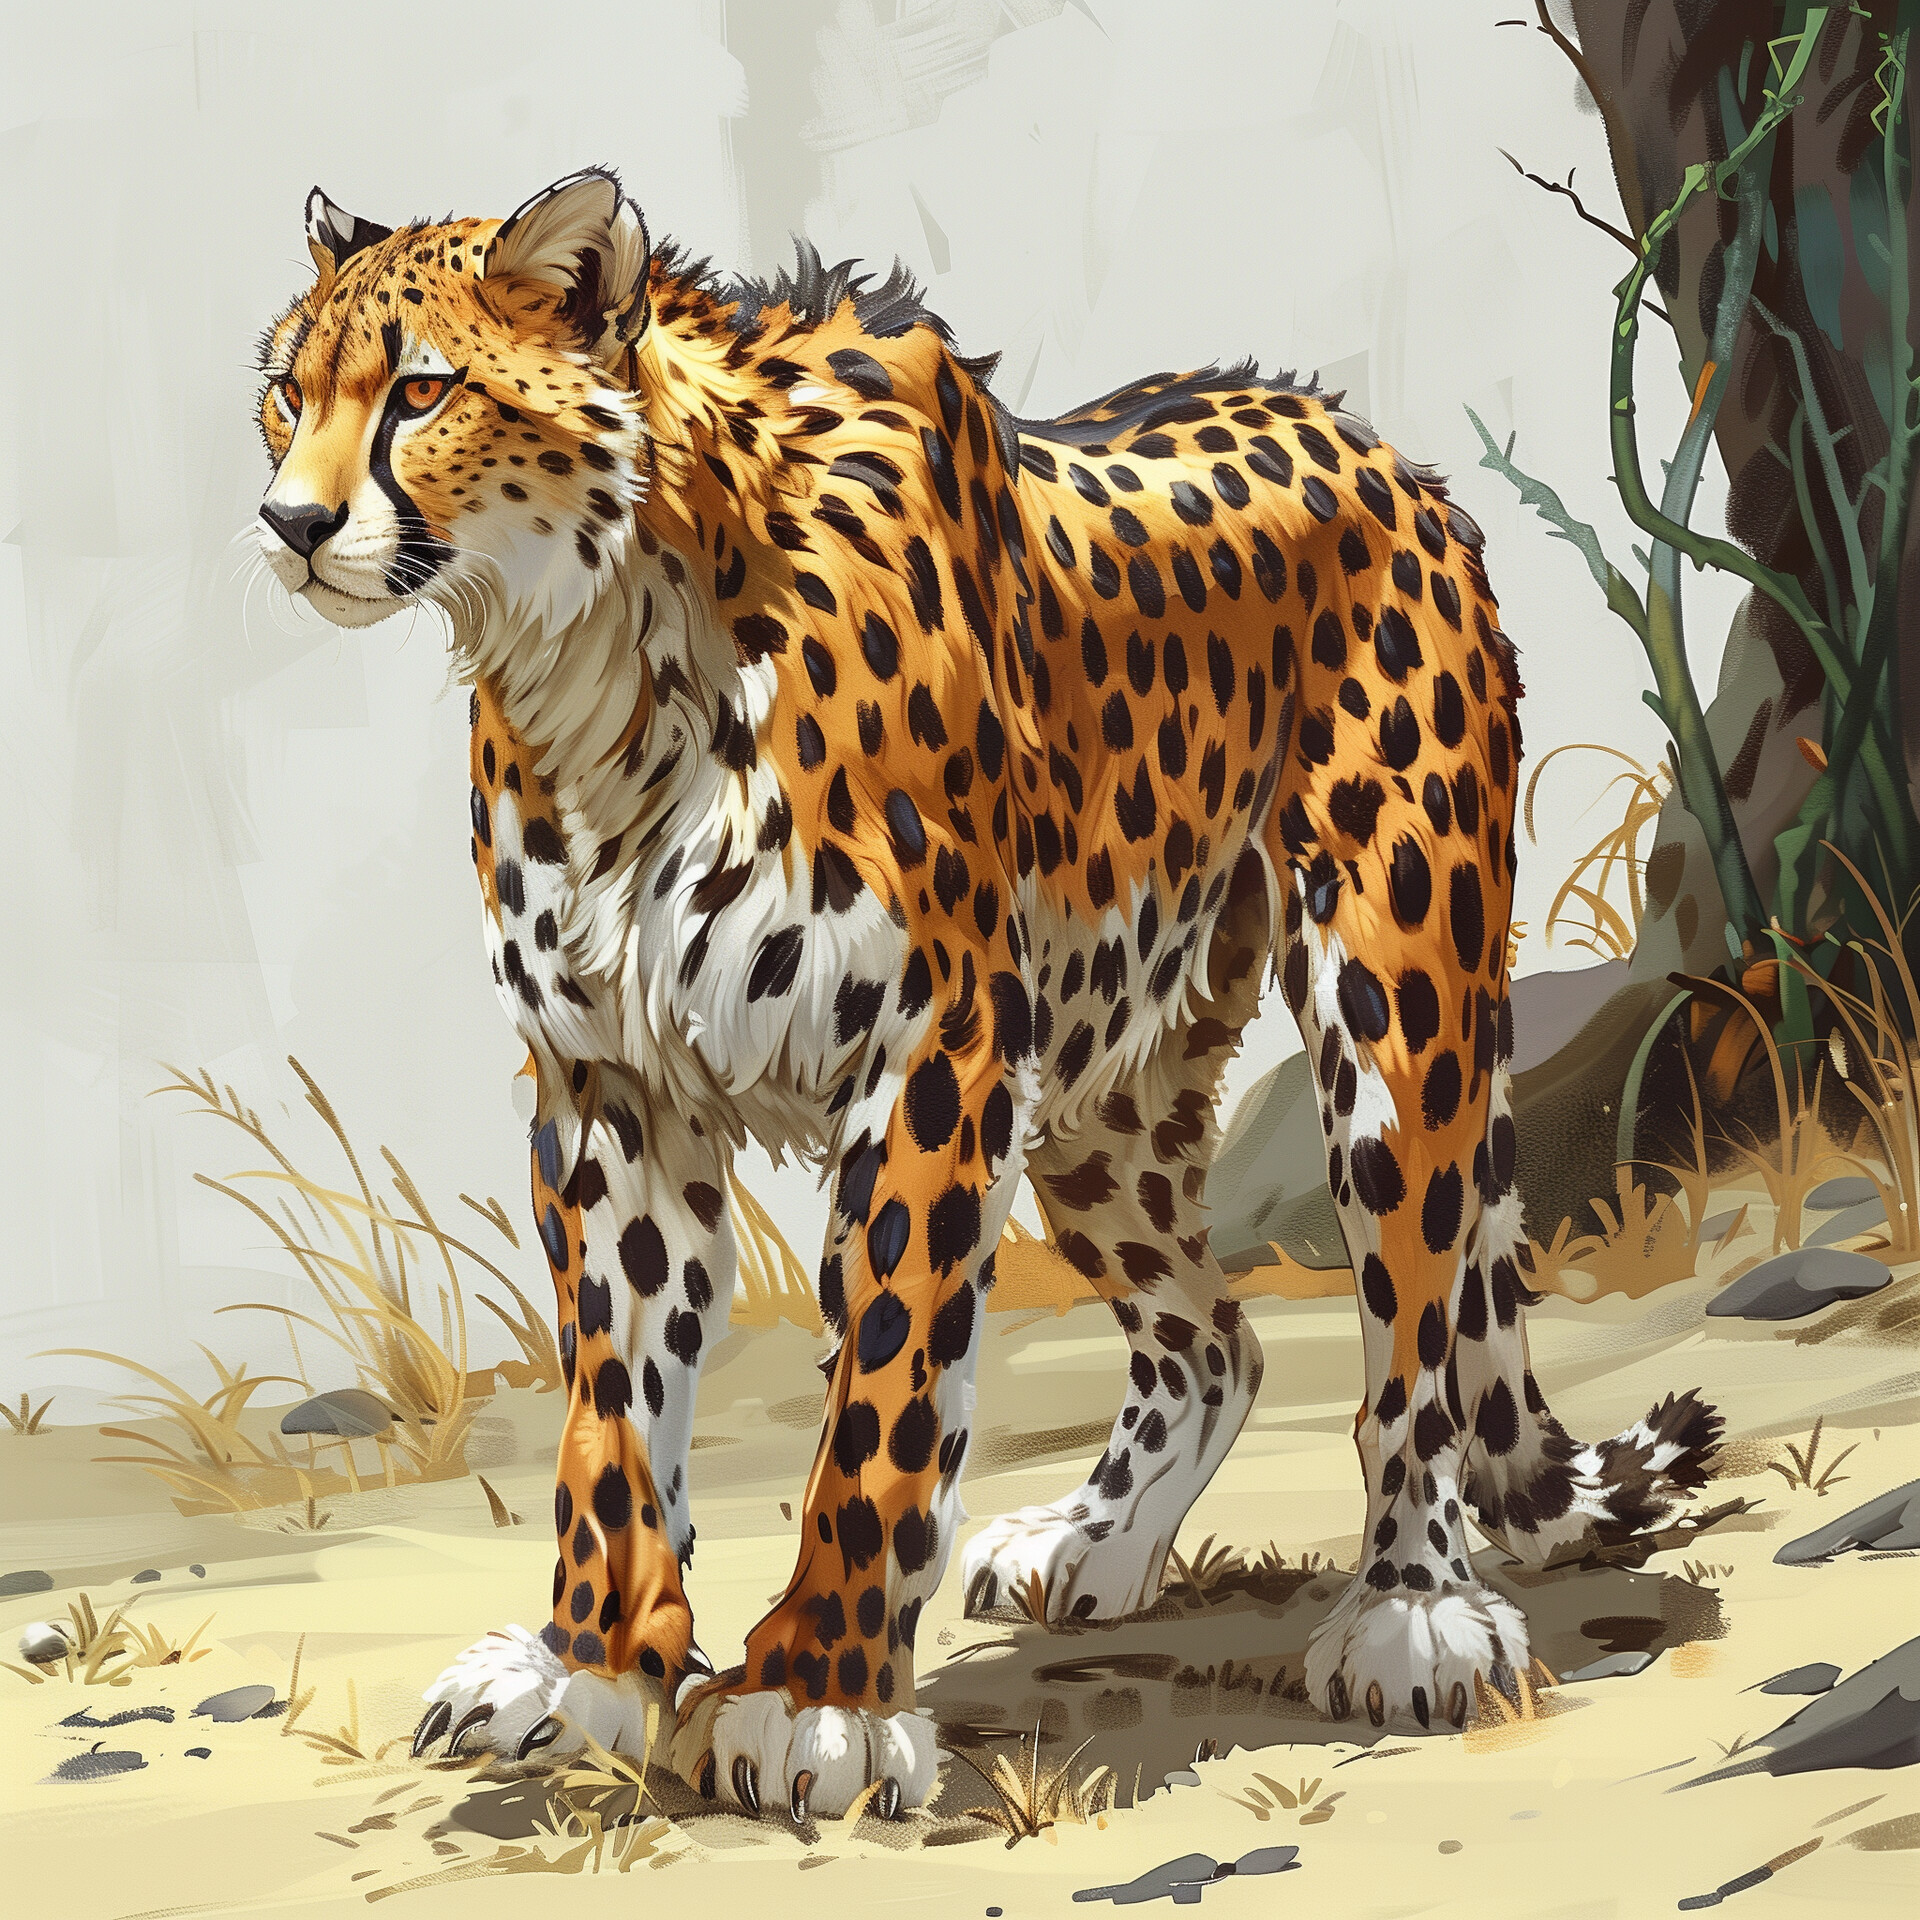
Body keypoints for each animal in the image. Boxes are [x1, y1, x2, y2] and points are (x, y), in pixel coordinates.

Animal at [251, 168, 1721, 1821]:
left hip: (1393, 1013)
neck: (604, 638)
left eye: (421, 392)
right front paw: (589, 1668)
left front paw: (815, 1699)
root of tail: (1365, 438)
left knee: (1409, 1339)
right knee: (1215, 1337)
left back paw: (1411, 1613)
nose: (291, 522)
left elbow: (888, 1377)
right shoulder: (610, 1084)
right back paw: (1095, 1544)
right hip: (1097, 1087)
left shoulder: (932, 1049)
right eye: (285, 394)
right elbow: (611, 1402)